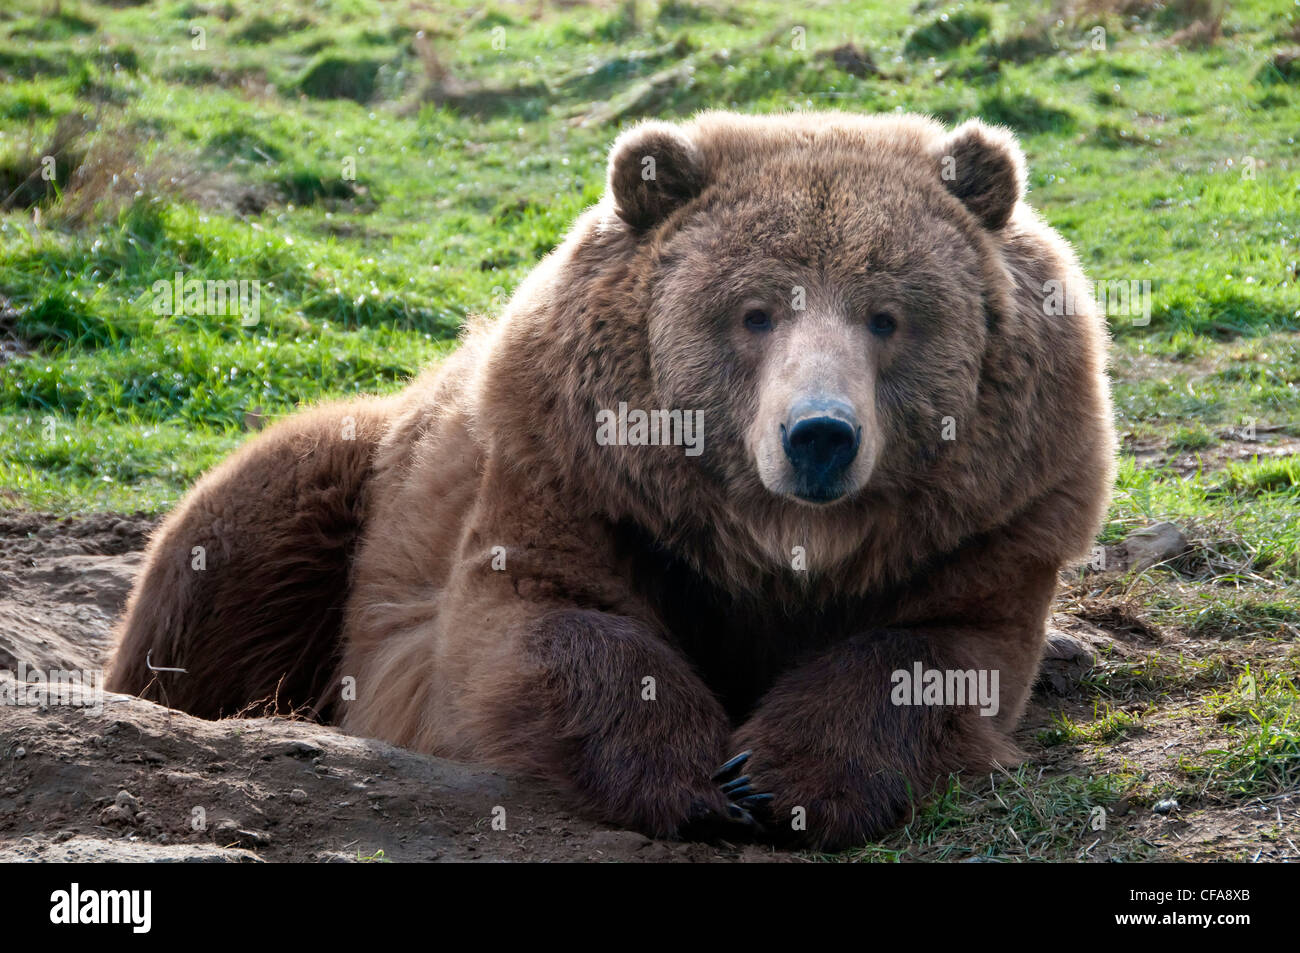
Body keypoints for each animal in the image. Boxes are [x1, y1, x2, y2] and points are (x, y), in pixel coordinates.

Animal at [108, 110, 1115, 850]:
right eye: (753, 313)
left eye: (887, 316)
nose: (819, 436)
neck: (781, 545)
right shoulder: (573, 476)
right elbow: (543, 621)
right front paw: (697, 778)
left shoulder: (992, 521)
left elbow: (927, 654)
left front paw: (780, 775)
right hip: (345, 477)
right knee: (231, 547)